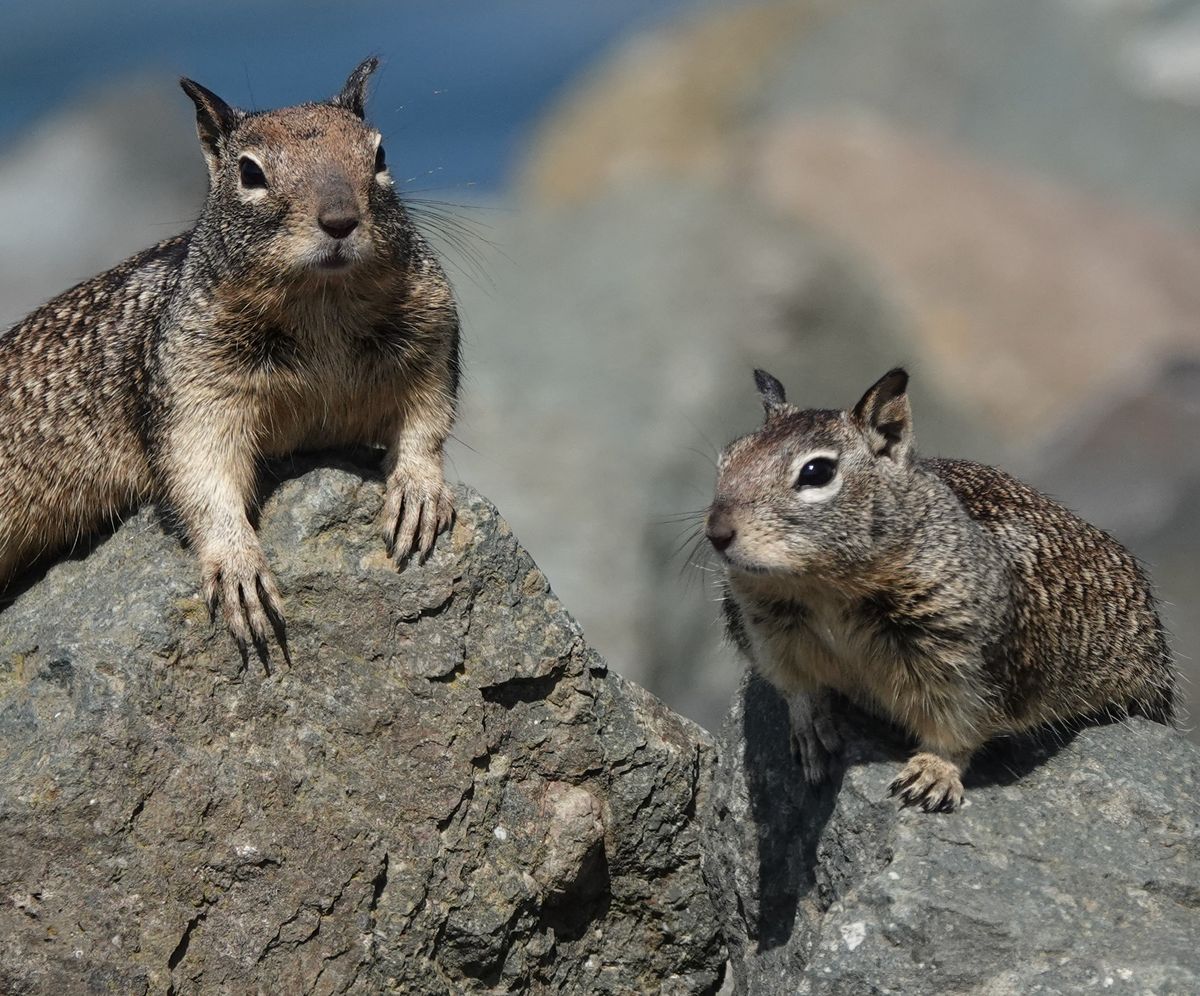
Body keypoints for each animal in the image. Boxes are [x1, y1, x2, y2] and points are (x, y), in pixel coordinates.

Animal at [0, 58, 459, 653]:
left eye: (379, 156)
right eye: (250, 173)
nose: (339, 220)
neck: (323, 309)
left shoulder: (431, 338)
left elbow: (428, 422)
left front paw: (418, 494)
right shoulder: (192, 386)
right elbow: (201, 473)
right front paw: (240, 568)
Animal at [707, 368, 1176, 812]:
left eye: (816, 472)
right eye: (726, 459)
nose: (716, 533)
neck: (824, 588)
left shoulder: (963, 661)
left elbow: (957, 725)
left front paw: (933, 773)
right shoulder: (768, 631)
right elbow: (796, 686)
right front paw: (810, 727)